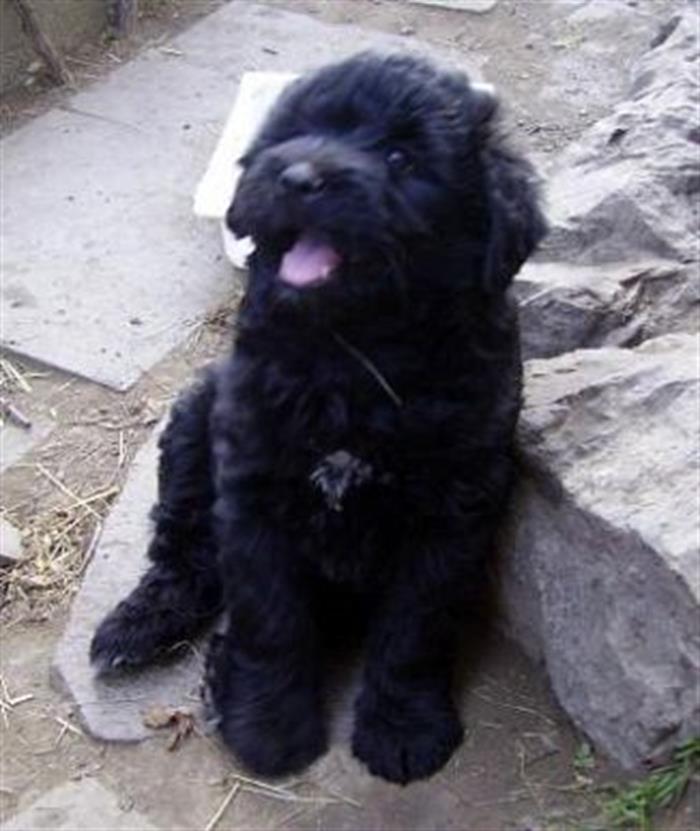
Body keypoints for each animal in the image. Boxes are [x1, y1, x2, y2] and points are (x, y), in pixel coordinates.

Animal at [89, 53, 548, 788]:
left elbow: (415, 625)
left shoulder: (452, 511)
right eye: (293, 135)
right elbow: (271, 620)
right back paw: (142, 627)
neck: (351, 357)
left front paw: (403, 727)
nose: (297, 177)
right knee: (182, 550)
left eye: (400, 156)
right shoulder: (254, 495)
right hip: (194, 420)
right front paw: (267, 729)